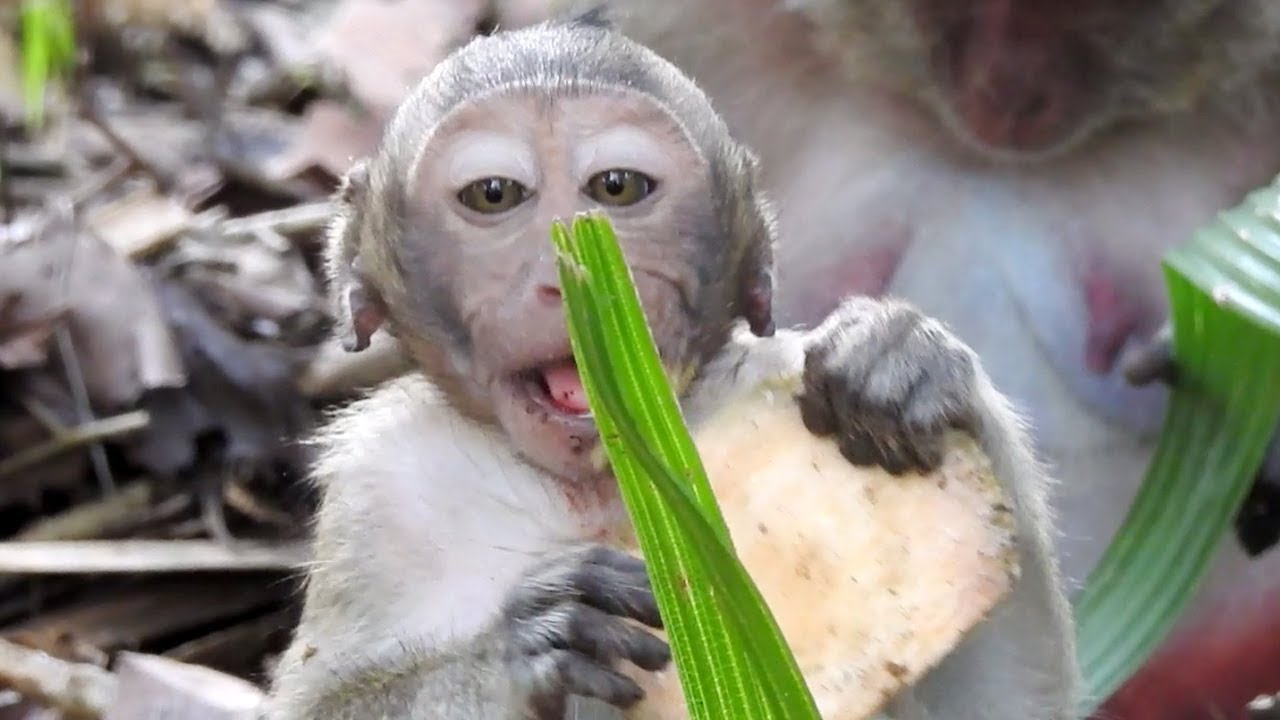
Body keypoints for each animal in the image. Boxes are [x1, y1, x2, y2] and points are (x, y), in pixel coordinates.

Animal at [260, 15, 1077, 720]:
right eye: (495, 196)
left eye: (616, 188)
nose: (562, 269)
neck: (600, 486)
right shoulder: (382, 490)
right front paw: (528, 648)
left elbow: (1016, 705)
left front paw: (906, 365)